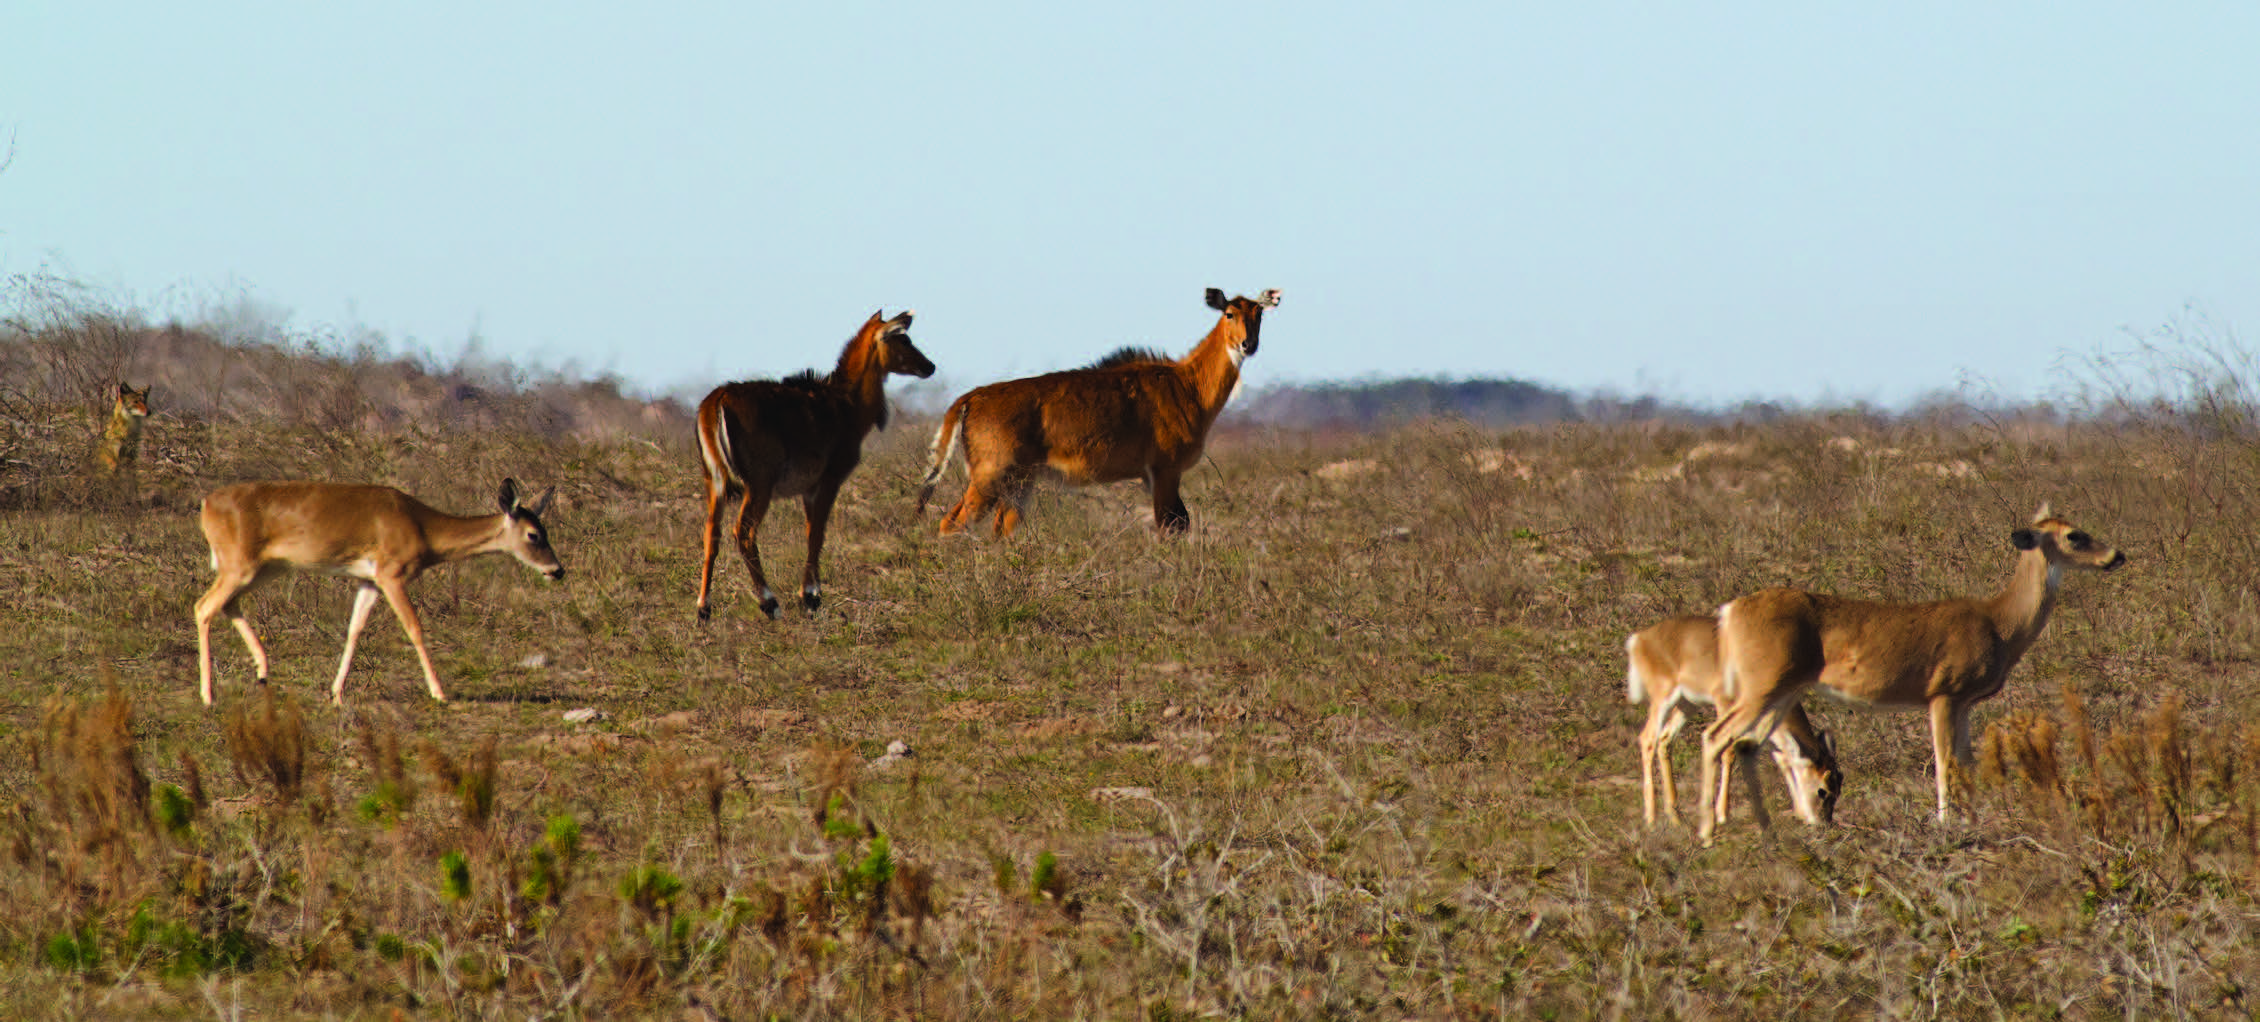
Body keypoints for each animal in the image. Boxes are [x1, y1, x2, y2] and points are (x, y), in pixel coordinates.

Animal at [194, 478, 562, 706]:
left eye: (545, 530)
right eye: (533, 535)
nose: (557, 570)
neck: (424, 529)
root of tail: (206, 503)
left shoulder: (369, 580)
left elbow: (354, 630)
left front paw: (336, 694)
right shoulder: (391, 573)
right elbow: (414, 628)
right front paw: (439, 692)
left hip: (264, 567)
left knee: (227, 605)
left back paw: (263, 671)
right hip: (238, 562)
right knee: (203, 607)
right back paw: (208, 695)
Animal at [694, 310, 935, 621]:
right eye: (903, 339)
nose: (929, 366)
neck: (848, 404)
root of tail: (716, 403)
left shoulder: (809, 488)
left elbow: (811, 530)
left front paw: (811, 593)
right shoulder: (829, 479)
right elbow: (818, 532)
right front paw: (810, 597)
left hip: (715, 480)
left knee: (712, 533)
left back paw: (704, 608)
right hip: (759, 483)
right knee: (744, 532)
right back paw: (770, 604)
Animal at [916, 287, 1280, 538]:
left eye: (1259, 314)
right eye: (1229, 313)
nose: (1248, 345)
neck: (1188, 383)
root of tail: (971, 397)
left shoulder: (1157, 475)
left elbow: (1179, 523)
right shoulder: (1164, 470)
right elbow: (1171, 526)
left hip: (1018, 481)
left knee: (1000, 529)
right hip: (991, 476)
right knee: (952, 523)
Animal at [1628, 614, 1841, 829]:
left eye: (1839, 787)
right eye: (1822, 790)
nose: (1825, 822)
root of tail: (1638, 639)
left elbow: (1782, 758)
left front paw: (1799, 812)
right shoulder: (1724, 701)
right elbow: (1727, 750)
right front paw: (1723, 815)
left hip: (1686, 703)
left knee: (1664, 739)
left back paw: (1675, 817)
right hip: (1663, 696)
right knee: (1647, 739)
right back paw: (1651, 818)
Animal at [1694, 506, 2126, 844]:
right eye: (2074, 535)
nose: (2117, 555)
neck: (2000, 624)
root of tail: (1729, 611)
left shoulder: (1965, 703)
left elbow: (1965, 761)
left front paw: (1973, 820)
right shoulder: (1943, 691)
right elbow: (1944, 761)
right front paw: (1946, 823)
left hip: (1779, 691)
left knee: (1750, 746)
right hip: (1762, 684)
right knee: (1716, 736)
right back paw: (1708, 830)